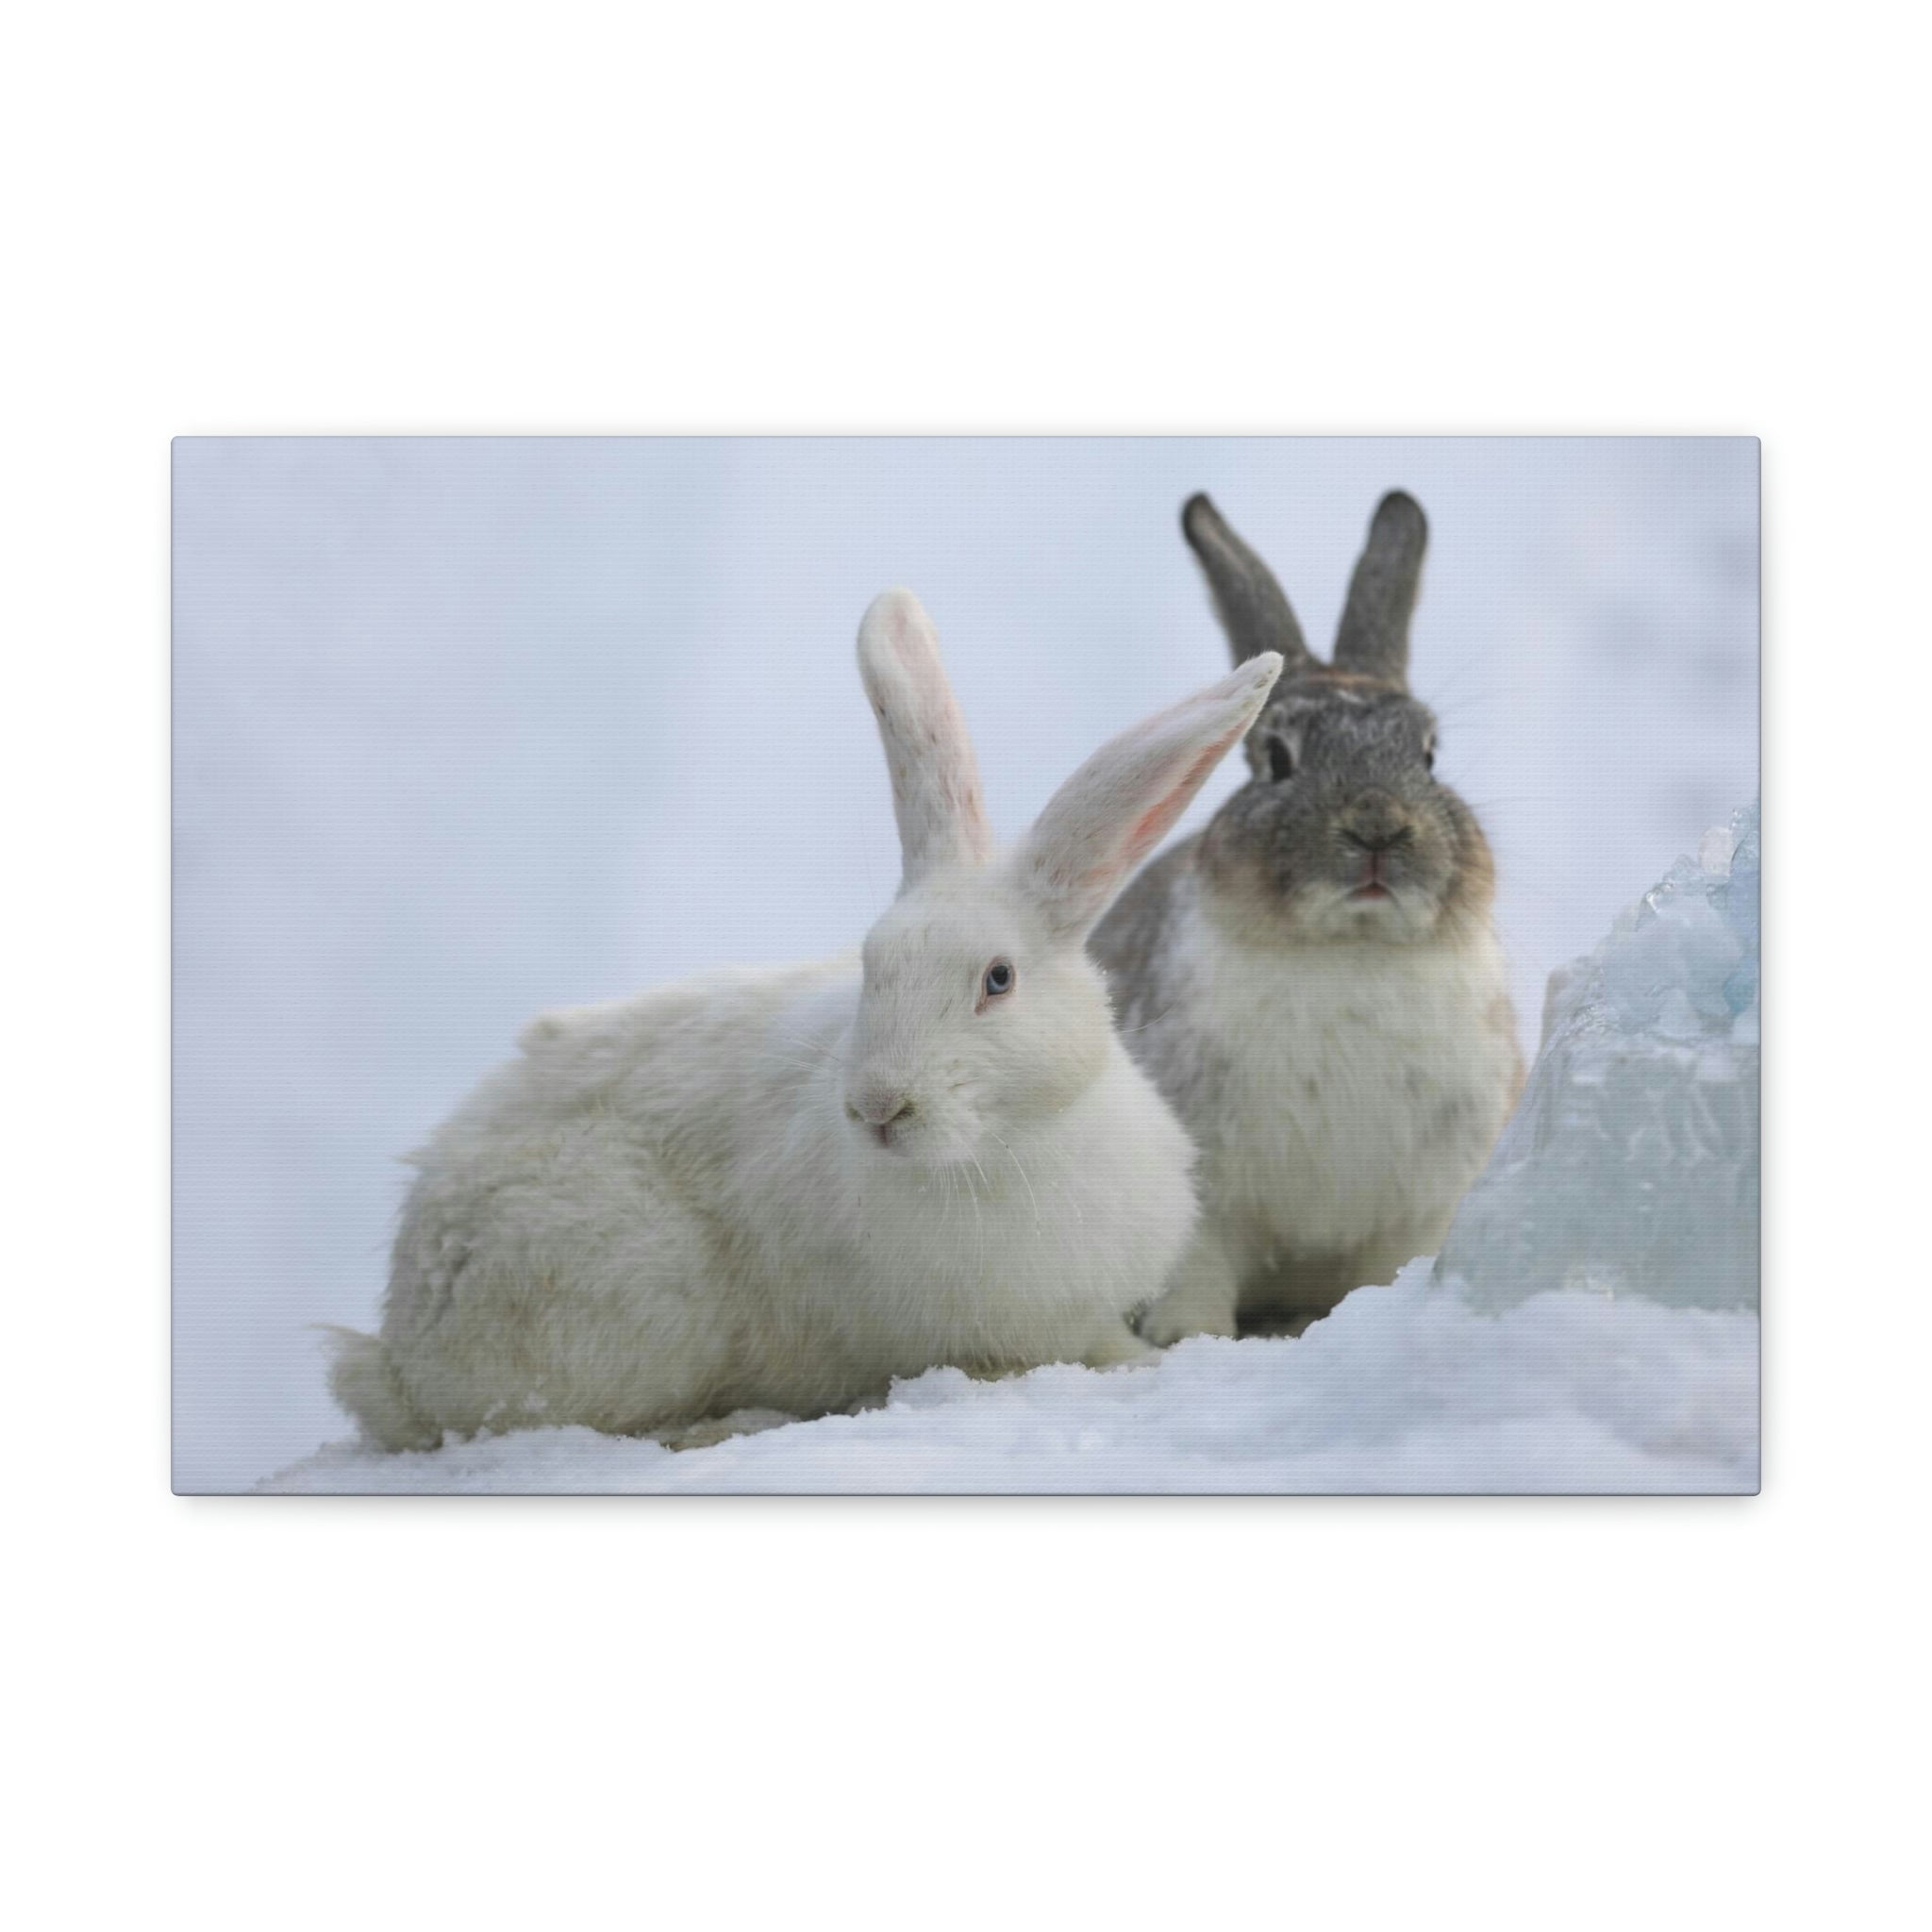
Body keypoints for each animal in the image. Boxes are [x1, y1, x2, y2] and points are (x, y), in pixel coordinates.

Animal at [1090, 491, 1523, 1345]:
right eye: (1277, 759)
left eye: (1429, 754)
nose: (1378, 827)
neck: (1348, 950)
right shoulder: (1204, 1196)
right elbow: (1195, 1269)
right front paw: (1189, 1339)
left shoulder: (1422, 1207)